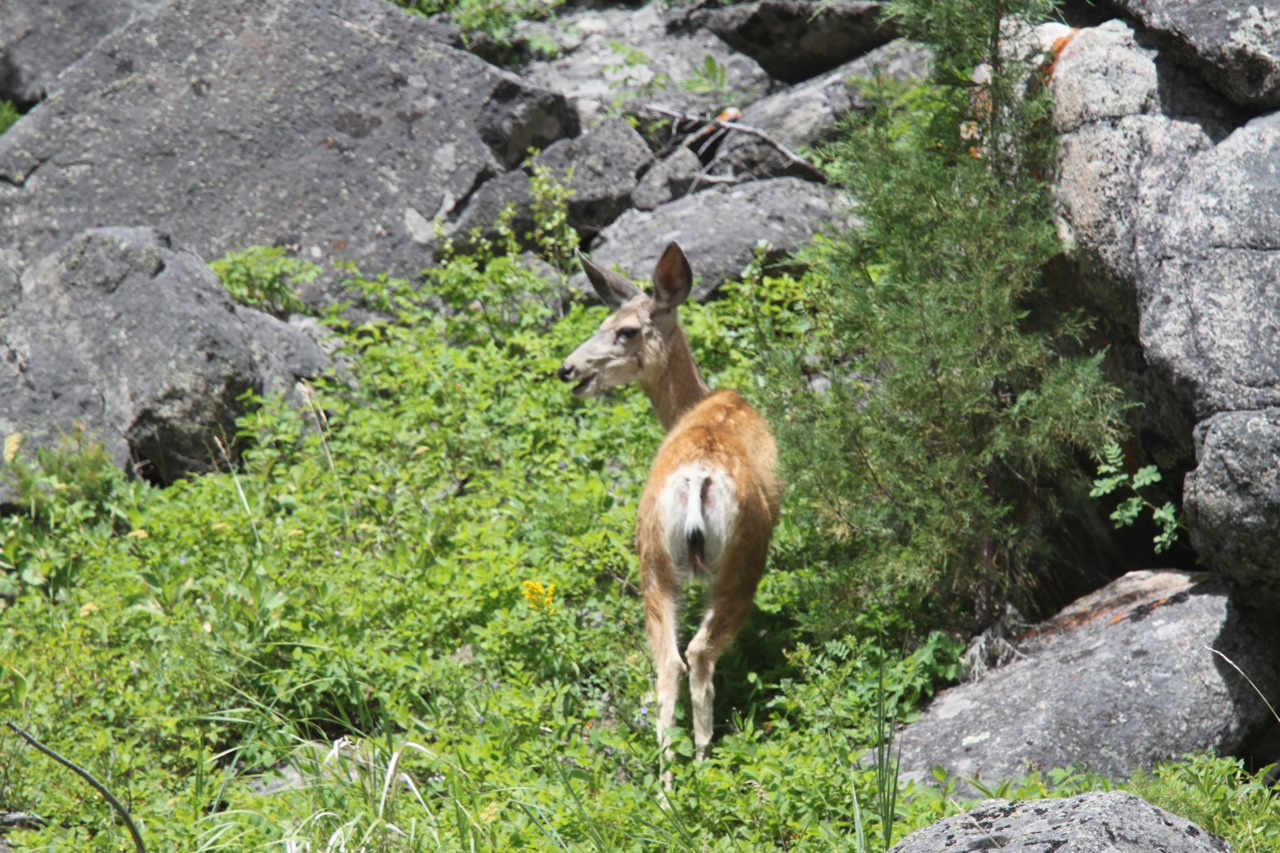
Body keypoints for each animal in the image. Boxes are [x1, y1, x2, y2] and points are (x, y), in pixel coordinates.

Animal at [558, 242, 782, 782]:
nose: (567, 369)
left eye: (624, 329)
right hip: (735, 559)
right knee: (695, 655)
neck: (696, 403)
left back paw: (665, 783)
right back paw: (700, 766)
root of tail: (699, 476)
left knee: (668, 665)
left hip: (655, 555)